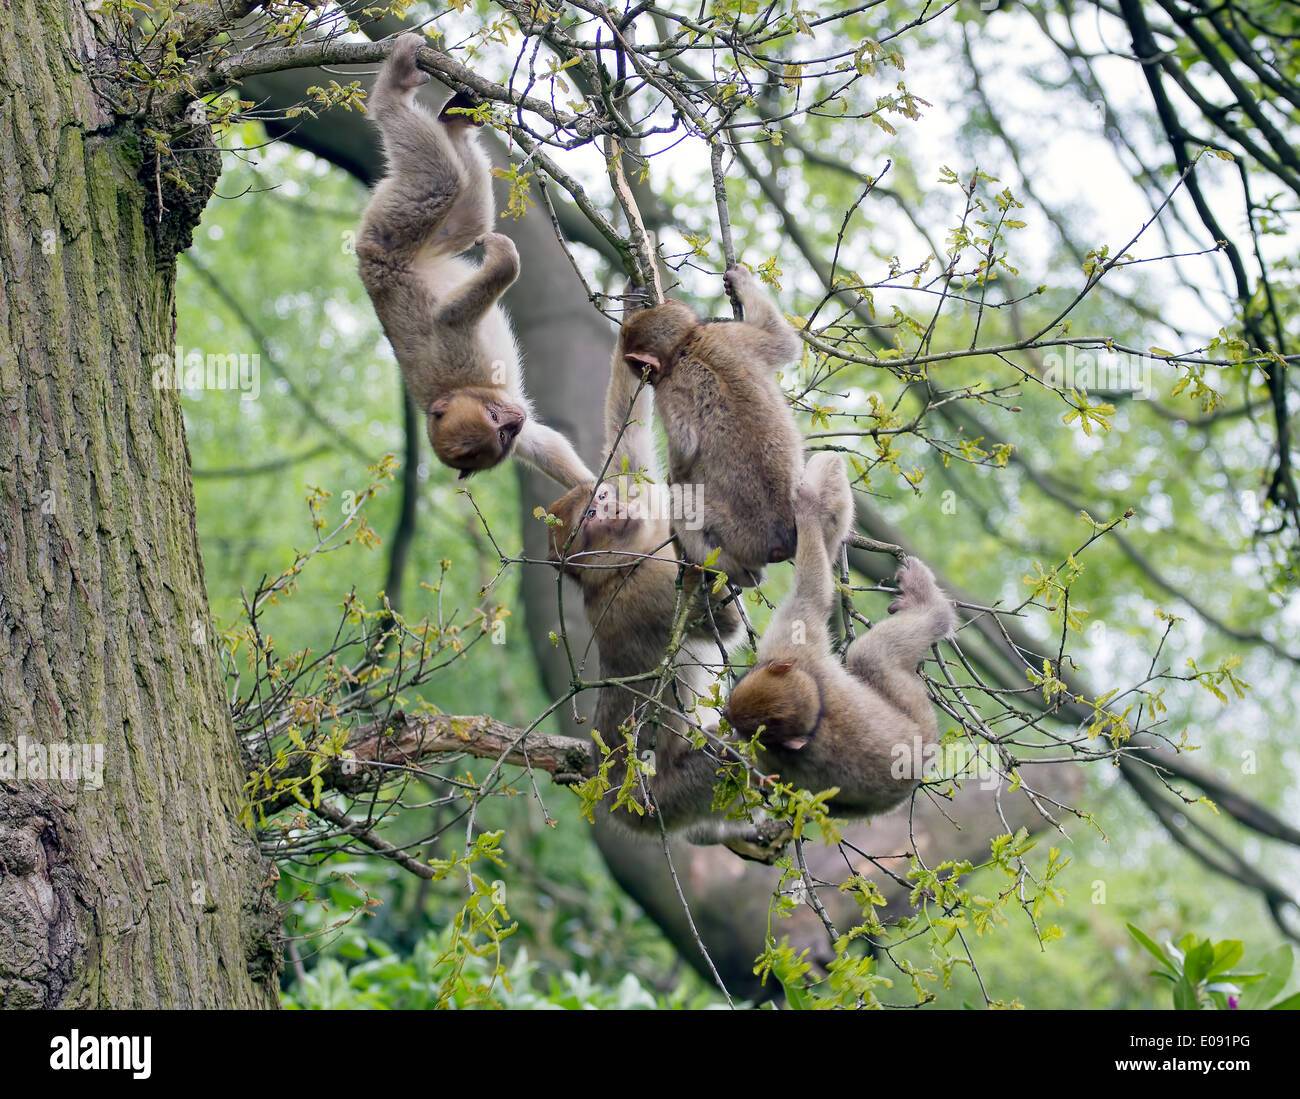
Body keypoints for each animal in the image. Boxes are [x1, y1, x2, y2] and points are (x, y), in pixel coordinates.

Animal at [356, 33, 594, 487]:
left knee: (444, 183)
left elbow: (447, 317)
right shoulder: (472, 372)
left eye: (496, 416)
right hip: (397, 235)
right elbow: (543, 442)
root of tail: (370, 268)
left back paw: (401, 96)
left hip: (393, 234)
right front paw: (599, 493)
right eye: (500, 433)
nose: (514, 419)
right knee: (452, 193)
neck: (470, 387)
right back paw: (441, 118)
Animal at [545, 314, 792, 862]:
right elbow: (717, 625)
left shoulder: (646, 504)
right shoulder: (645, 587)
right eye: (590, 517)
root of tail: (614, 795)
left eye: (602, 498)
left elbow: (627, 434)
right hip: (673, 792)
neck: (626, 560)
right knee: (733, 758)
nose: (615, 507)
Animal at [619, 265, 805, 586]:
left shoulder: (667, 389)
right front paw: (740, 280)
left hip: (739, 535)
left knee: (680, 502)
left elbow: (685, 445)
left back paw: (736, 573)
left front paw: (675, 474)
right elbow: (782, 340)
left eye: (641, 367)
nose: (643, 376)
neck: (686, 343)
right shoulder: (729, 334)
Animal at [722, 452, 958, 816]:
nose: (725, 712)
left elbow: (812, 590)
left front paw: (808, 511)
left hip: (922, 723)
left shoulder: (791, 643)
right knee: (869, 657)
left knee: (868, 655)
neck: (816, 707)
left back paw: (930, 607)